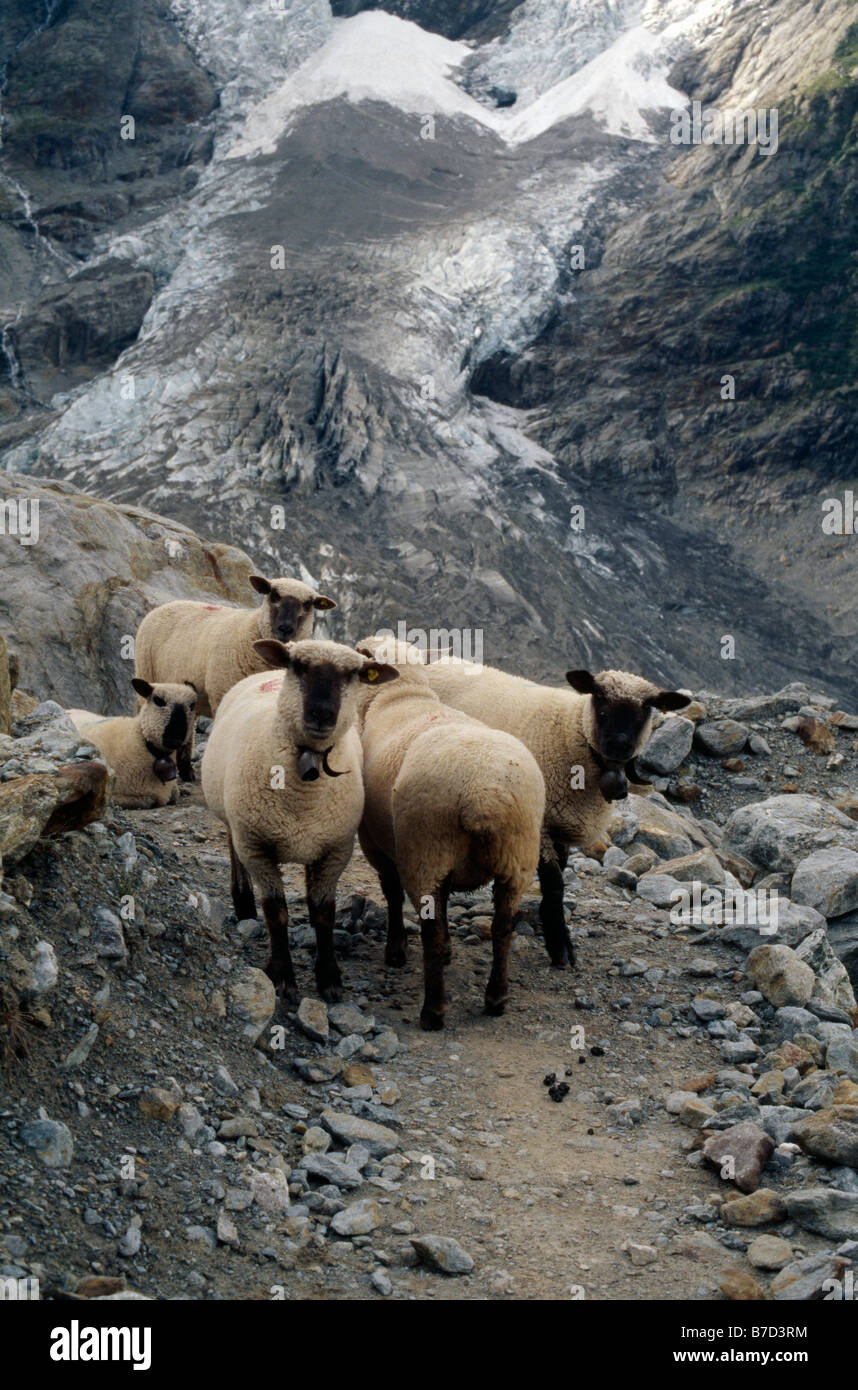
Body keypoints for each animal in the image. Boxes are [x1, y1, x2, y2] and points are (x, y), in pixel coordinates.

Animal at [67, 680, 198, 809]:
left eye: (192, 705)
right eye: (158, 701)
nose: (176, 737)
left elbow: (175, 794)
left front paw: (183, 791)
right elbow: (150, 800)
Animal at [134, 575, 337, 780]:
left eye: (308, 604)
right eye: (273, 595)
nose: (285, 628)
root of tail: (166, 606)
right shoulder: (222, 694)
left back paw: (186, 772)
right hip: (146, 674)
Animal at [201, 638, 398, 1002]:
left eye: (353, 673)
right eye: (298, 666)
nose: (322, 714)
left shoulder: (334, 850)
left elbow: (323, 914)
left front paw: (329, 977)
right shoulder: (257, 847)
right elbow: (275, 912)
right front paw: (282, 976)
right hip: (232, 818)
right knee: (232, 848)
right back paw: (243, 902)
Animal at [355, 636, 545, 1030]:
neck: (403, 696)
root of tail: (482, 793)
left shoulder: (377, 844)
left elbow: (392, 895)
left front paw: (396, 950)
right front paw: (447, 953)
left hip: (424, 849)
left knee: (429, 929)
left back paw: (433, 1011)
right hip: (516, 857)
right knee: (503, 927)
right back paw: (496, 998)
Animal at [421, 654, 689, 970]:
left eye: (648, 706)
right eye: (598, 696)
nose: (619, 745)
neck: (571, 729)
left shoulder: (560, 824)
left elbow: (557, 881)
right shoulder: (538, 824)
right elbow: (554, 885)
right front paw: (560, 947)